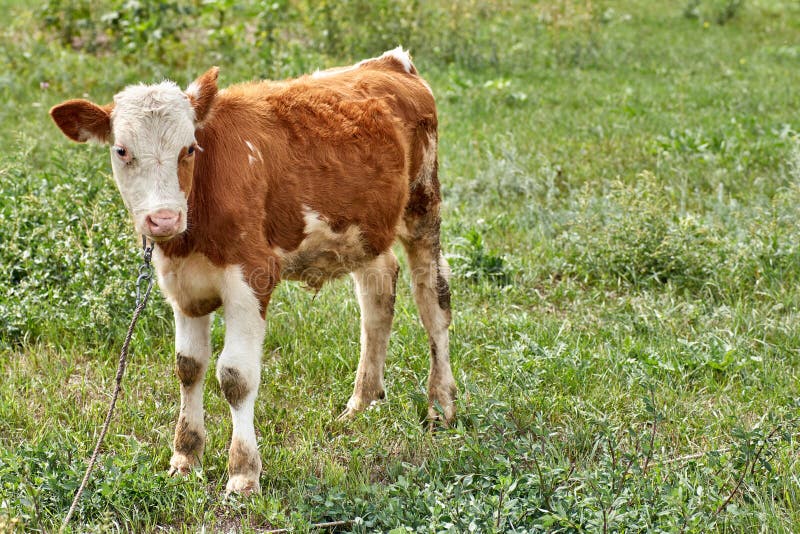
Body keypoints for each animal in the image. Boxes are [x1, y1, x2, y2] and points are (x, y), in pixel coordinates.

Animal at [49, 47, 456, 495]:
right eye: (121, 150)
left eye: (189, 149)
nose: (163, 218)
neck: (193, 230)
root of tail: (390, 63)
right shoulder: (181, 284)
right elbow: (188, 366)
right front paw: (185, 456)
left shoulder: (252, 277)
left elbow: (235, 376)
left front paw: (243, 474)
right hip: (362, 232)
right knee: (378, 296)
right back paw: (361, 404)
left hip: (423, 204)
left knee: (433, 301)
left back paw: (441, 406)